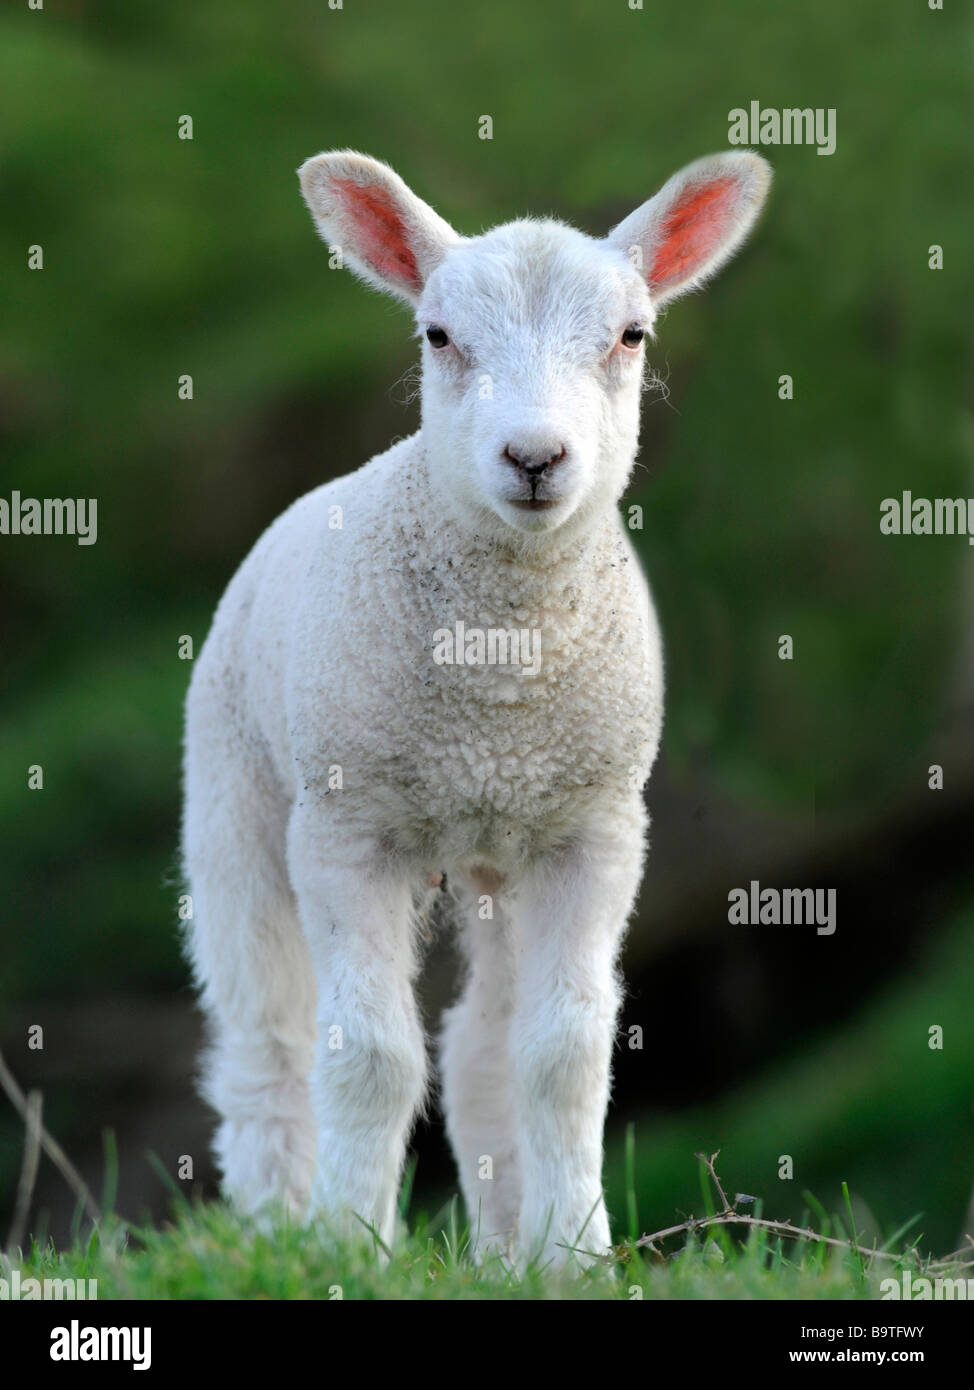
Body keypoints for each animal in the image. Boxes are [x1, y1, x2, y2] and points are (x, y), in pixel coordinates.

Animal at [181, 148, 771, 1269]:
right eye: (438, 336)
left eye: (632, 335)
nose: (533, 459)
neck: (499, 682)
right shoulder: (347, 826)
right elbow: (365, 1054)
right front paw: (349, 1252)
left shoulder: (592, 830)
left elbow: (564, 1054)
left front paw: (577, 1256)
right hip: (235, 794)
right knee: (267, 1042)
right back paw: (275, 1228)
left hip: (503, 849)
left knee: (483, 1048)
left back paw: (508, 1252)